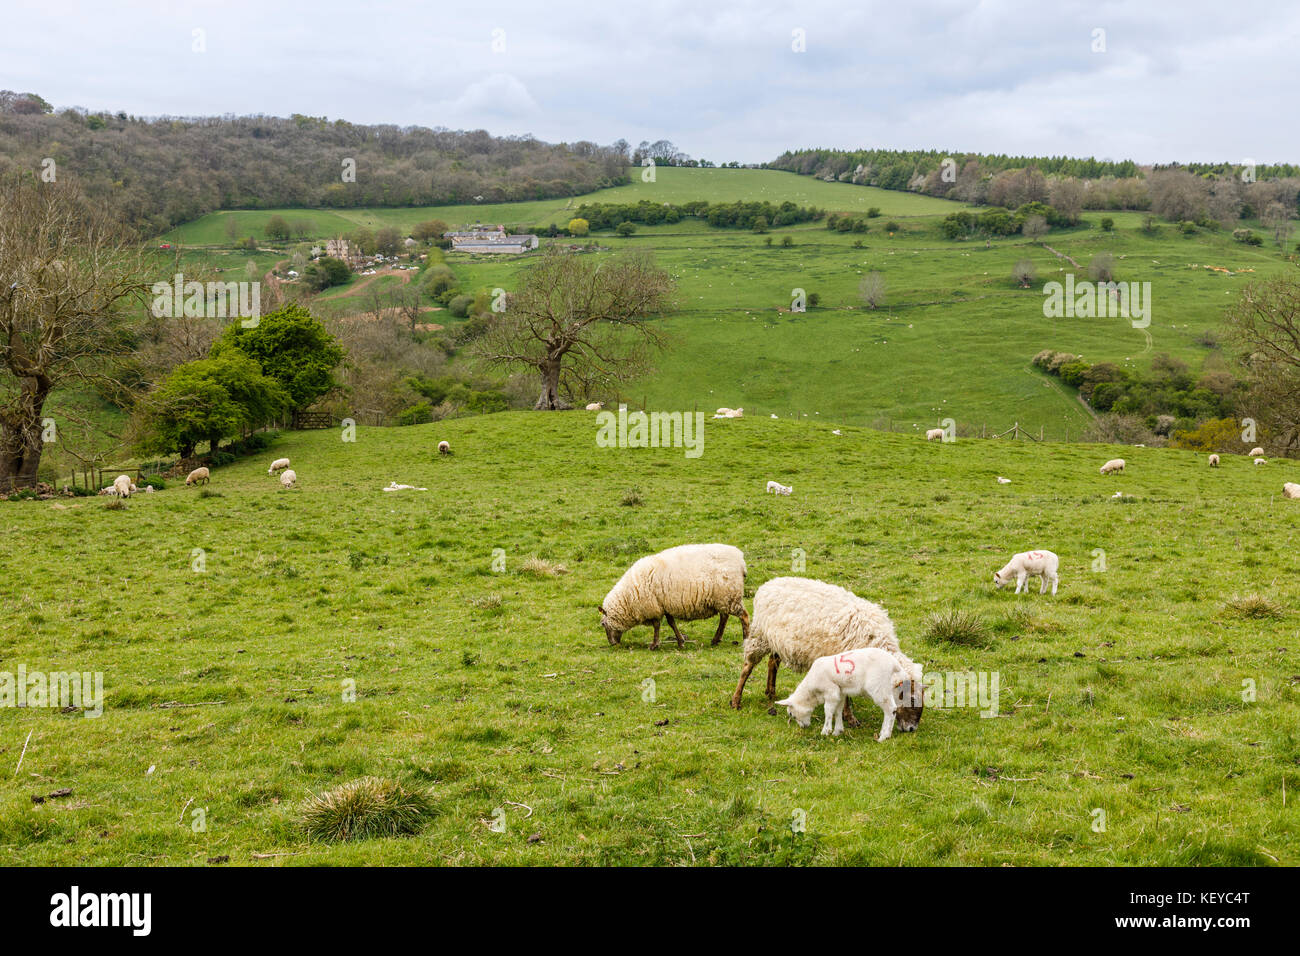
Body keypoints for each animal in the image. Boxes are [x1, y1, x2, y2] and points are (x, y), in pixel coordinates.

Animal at [599, 543, 749, 650]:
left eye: (603, 624)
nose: (612, 644)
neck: (630, 595)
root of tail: (741, 560)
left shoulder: (654, 607)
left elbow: (657, 625)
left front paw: (654, 645)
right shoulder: (665, 605)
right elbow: (671, 623)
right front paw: (680, 642)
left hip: (729, 596)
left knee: (744, 616)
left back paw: (745, 640)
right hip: (723, 598)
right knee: (724, 617)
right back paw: (715, 640)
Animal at [730, 576, 923, 733]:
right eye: (910, 698)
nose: (911, 729)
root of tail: (768, 584)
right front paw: (850, 718)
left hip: (777, 641)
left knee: (772, 662)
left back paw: (771, 692)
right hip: (759, 636)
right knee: (747, 668)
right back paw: (736, 701)